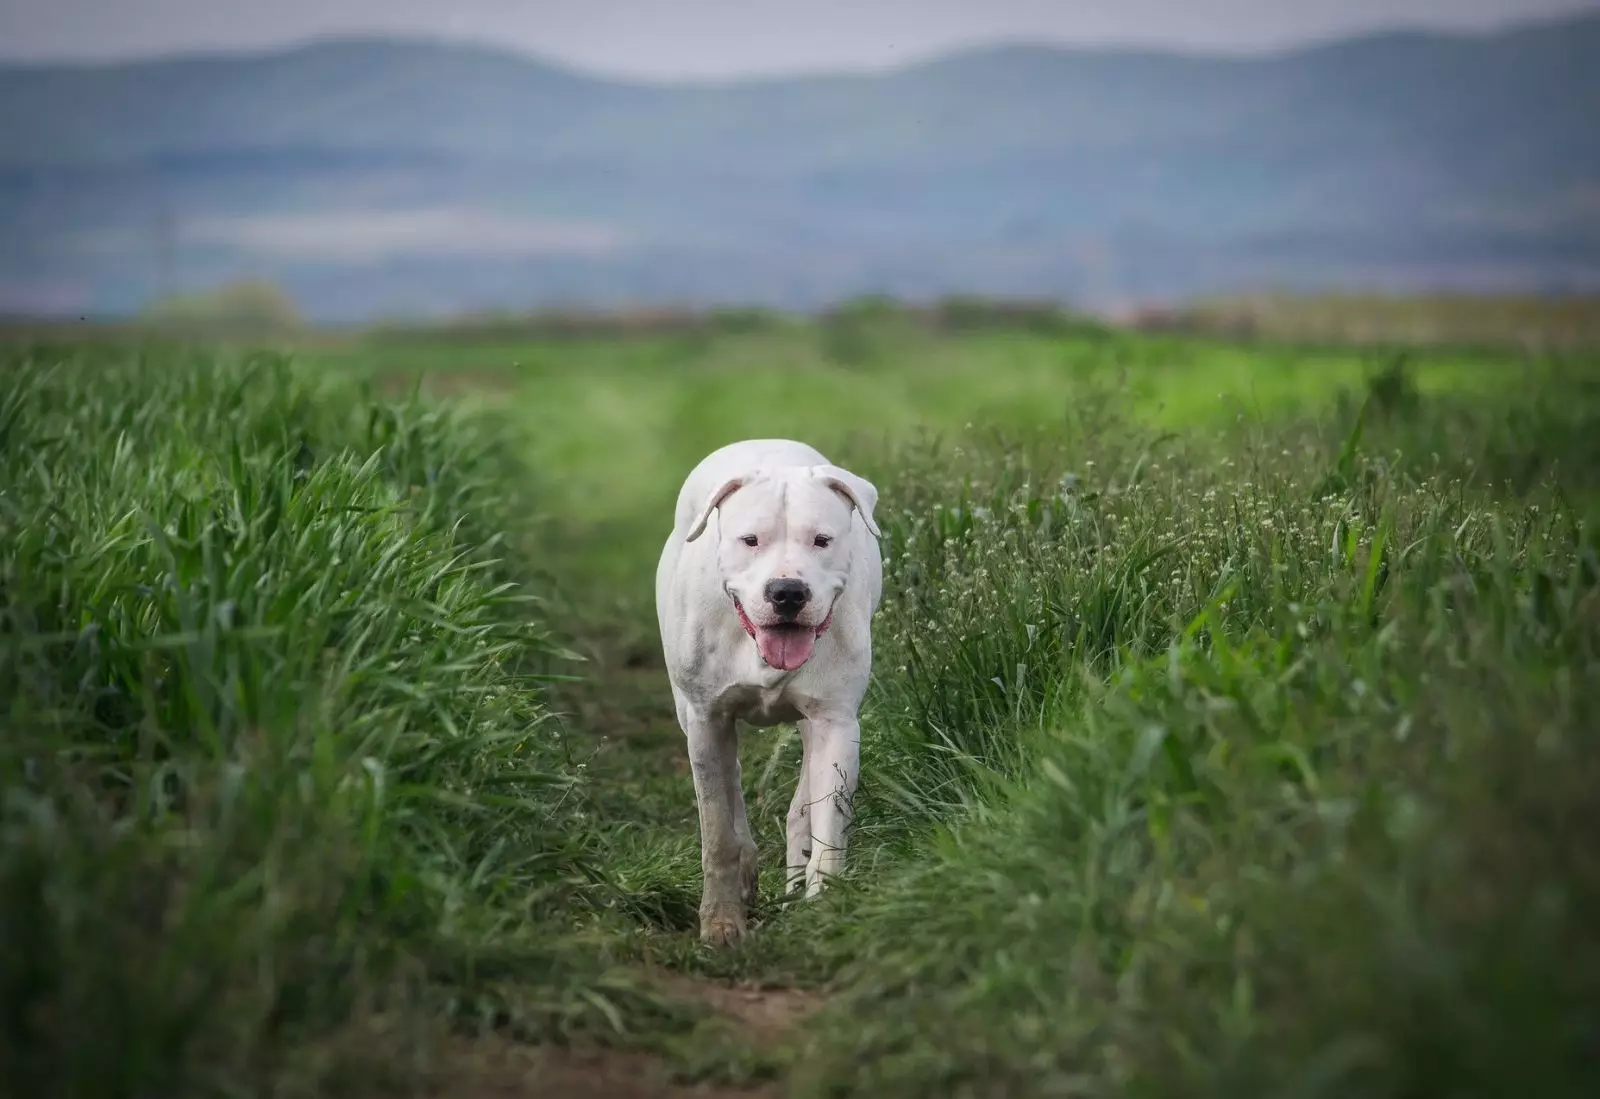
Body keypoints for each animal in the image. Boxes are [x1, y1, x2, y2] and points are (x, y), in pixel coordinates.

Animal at [652, 438, 889, 947]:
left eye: (822, 540)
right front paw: (721, 921)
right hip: (690, 713)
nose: (787, 591)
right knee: (731, 784)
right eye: (750, 540)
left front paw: (823, 908)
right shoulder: (705, 719)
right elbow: (717, 829)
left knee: (802, 801)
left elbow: (828, 823)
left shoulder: (836, 721)